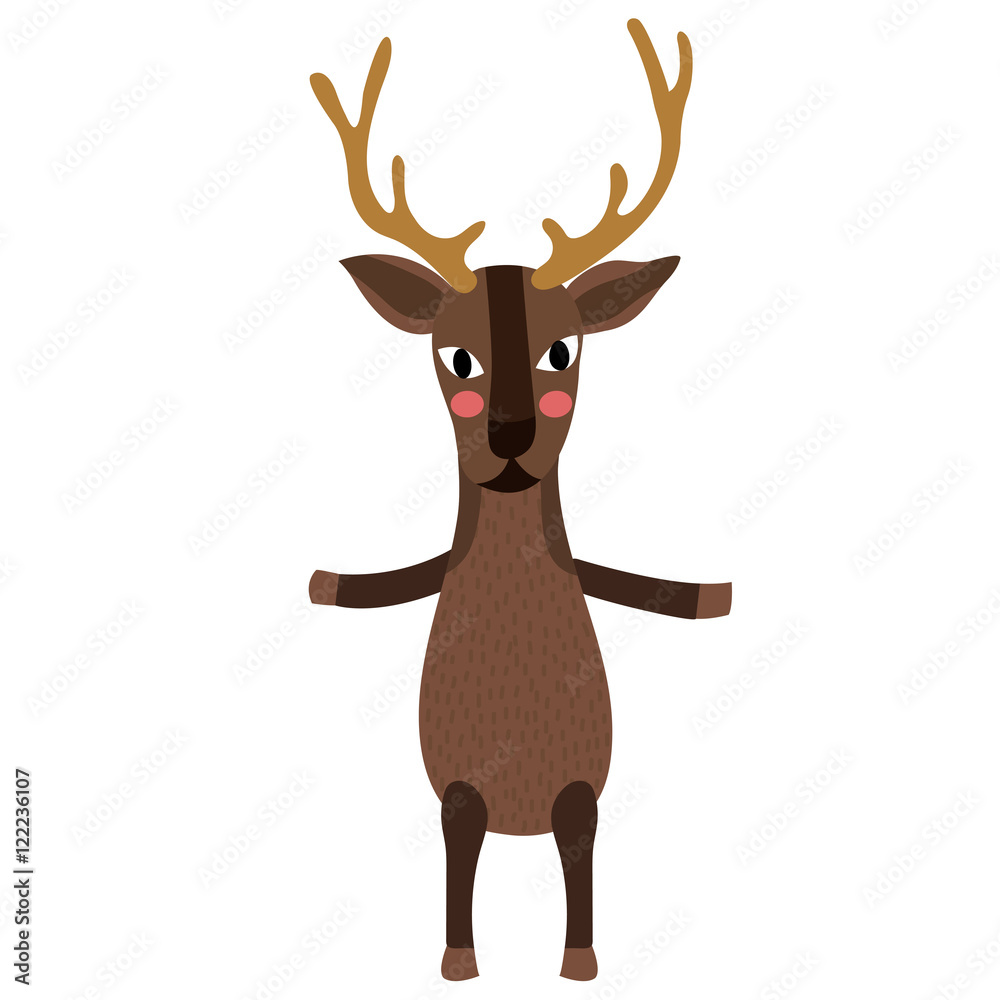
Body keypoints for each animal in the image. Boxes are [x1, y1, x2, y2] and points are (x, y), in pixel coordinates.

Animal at [307, 18, 731, 982]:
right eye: (454, 356)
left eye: (562, 351)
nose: (508, 435)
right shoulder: (454, 784)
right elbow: (458, 854)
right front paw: (459, 963)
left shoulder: (585, 783)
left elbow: (580, 854)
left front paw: (580, 964)